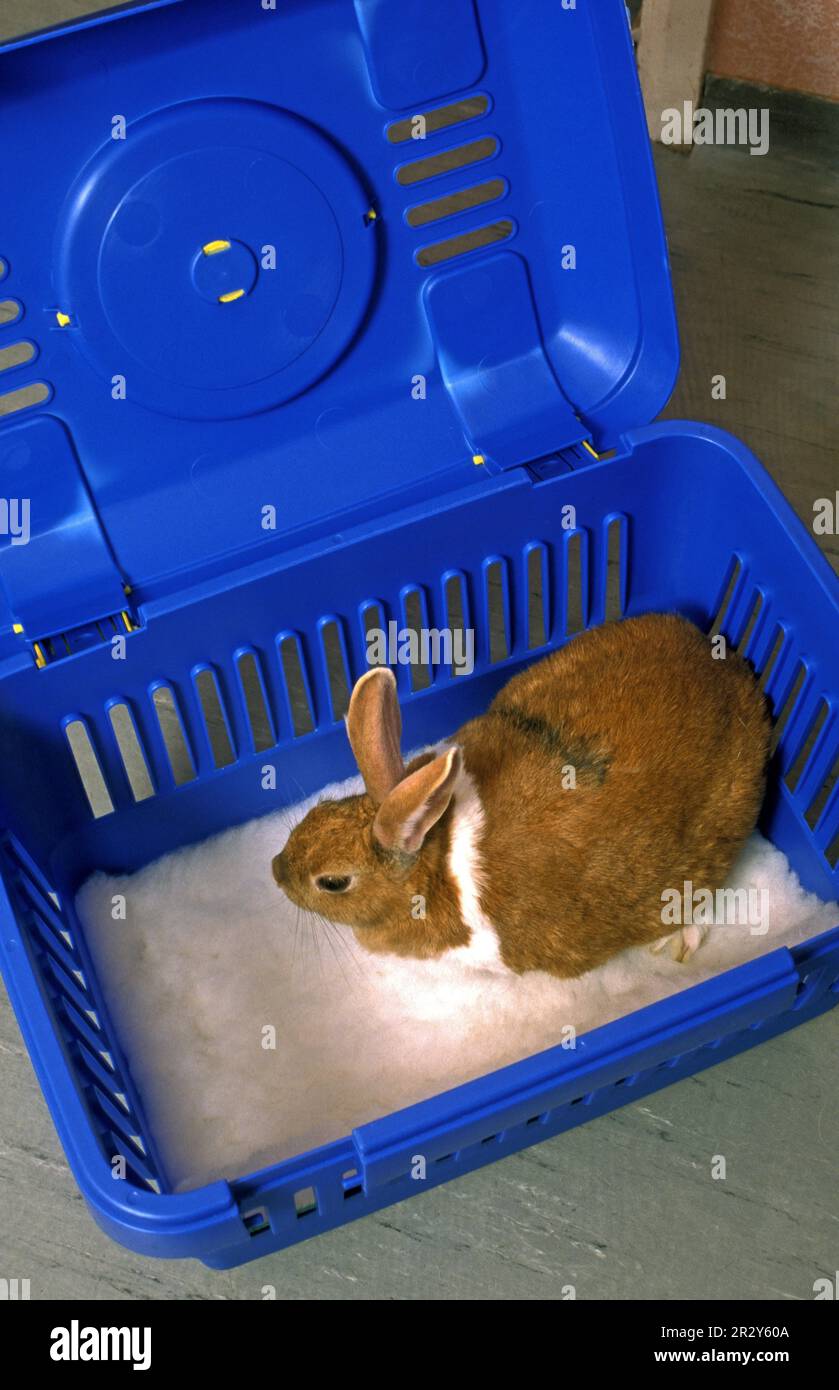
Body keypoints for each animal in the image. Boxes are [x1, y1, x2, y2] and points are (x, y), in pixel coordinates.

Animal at [271, 613, 771, 978]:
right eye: (317, 813)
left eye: (333, 882)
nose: (276, 872)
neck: (433, 862)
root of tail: (727, 665)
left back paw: (676, 942)